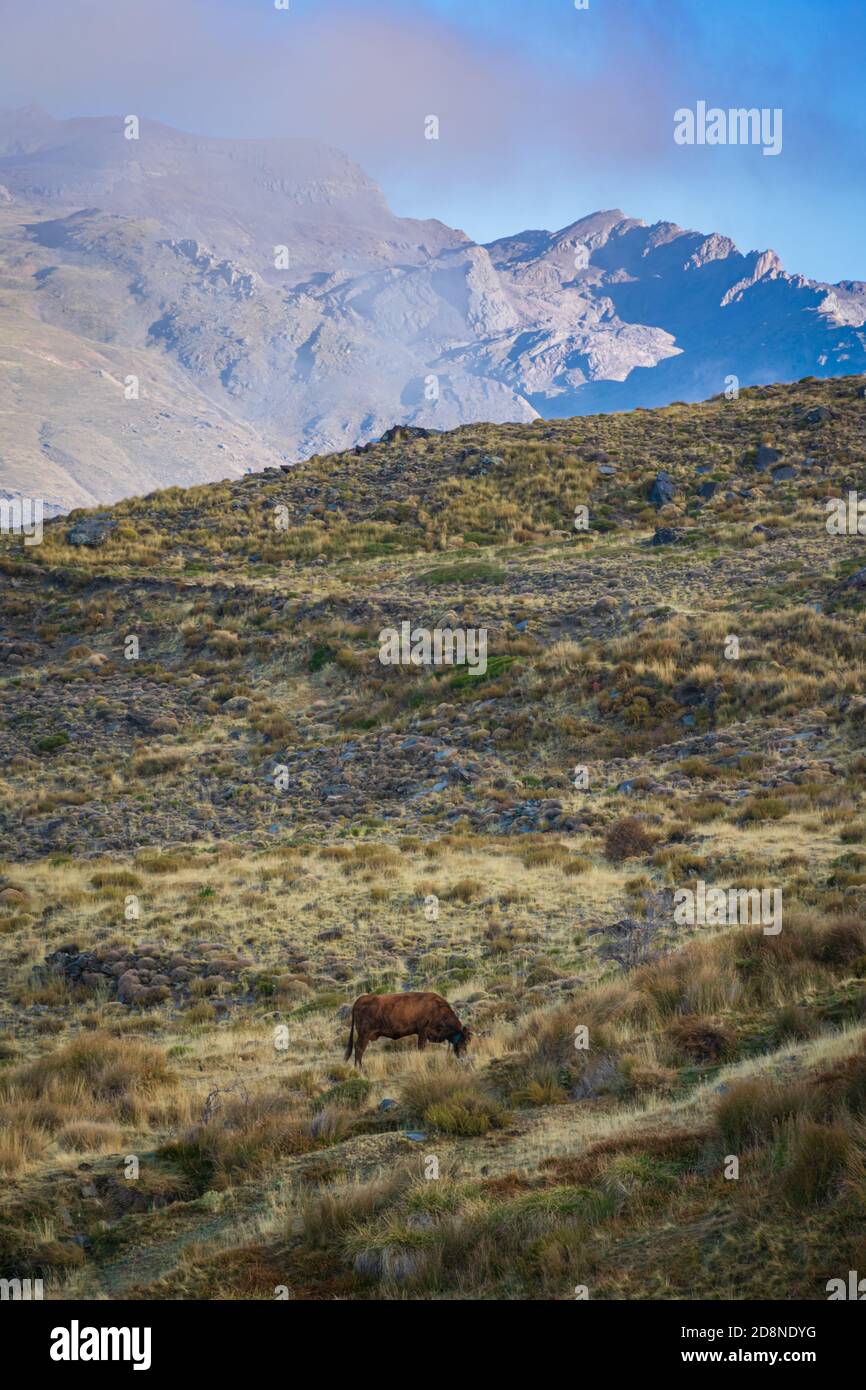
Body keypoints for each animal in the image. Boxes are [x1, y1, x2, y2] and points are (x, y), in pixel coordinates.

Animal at [344, 991, 472, 1069]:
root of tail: (362, 999)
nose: (464, 1055)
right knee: (359, 1049)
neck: (438, 1009)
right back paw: (360, 1068)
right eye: (465, 1041)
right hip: (364, 1035)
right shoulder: (422, 1032)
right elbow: (421, 1047)